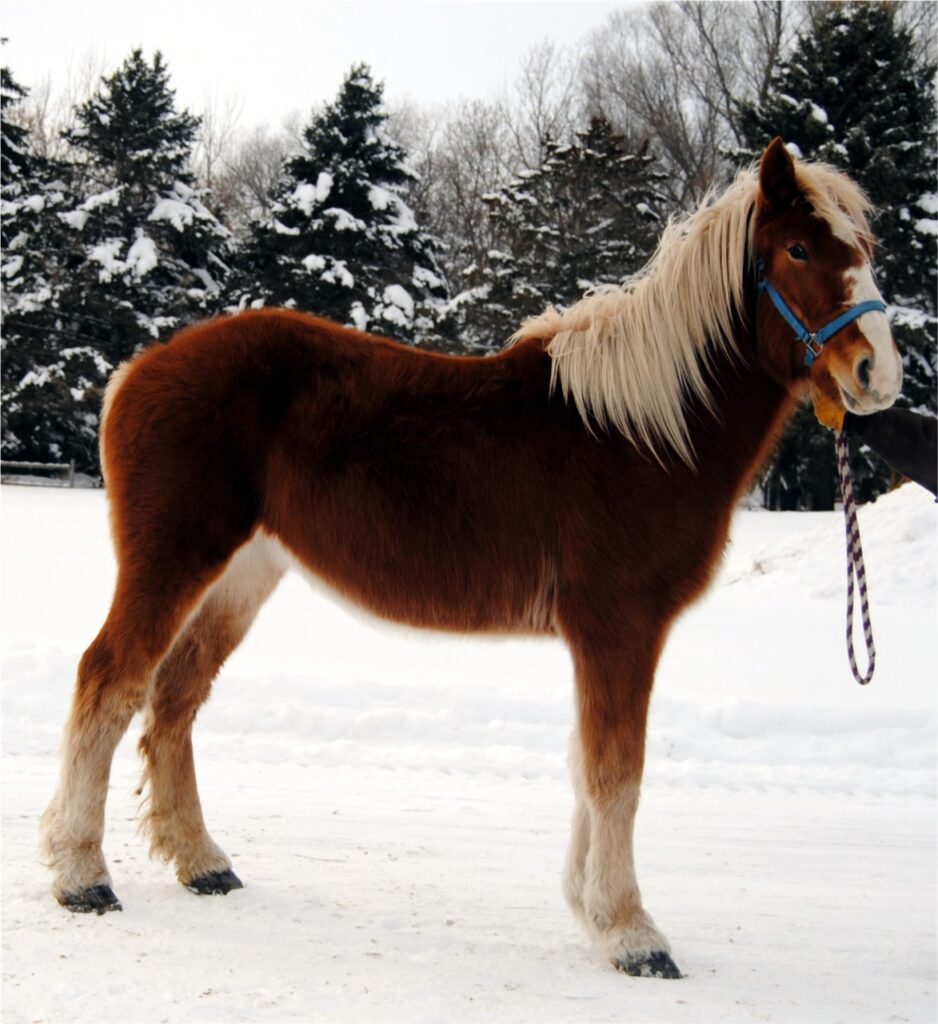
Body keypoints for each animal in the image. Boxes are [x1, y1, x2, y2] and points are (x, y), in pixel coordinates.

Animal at [39, 139, 901, 978]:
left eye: (864, 249)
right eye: (797, 249)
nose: (878, 374)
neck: (646, 432)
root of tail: (141, 367)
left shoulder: (606, 639)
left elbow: (590, 765)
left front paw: (591, 910)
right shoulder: (620, 627)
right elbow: (617, 772)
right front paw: (631, 933)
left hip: (244, 574)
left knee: (174, 699)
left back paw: (202, 862)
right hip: (176, 559)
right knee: (109, 679)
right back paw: (83, 876)